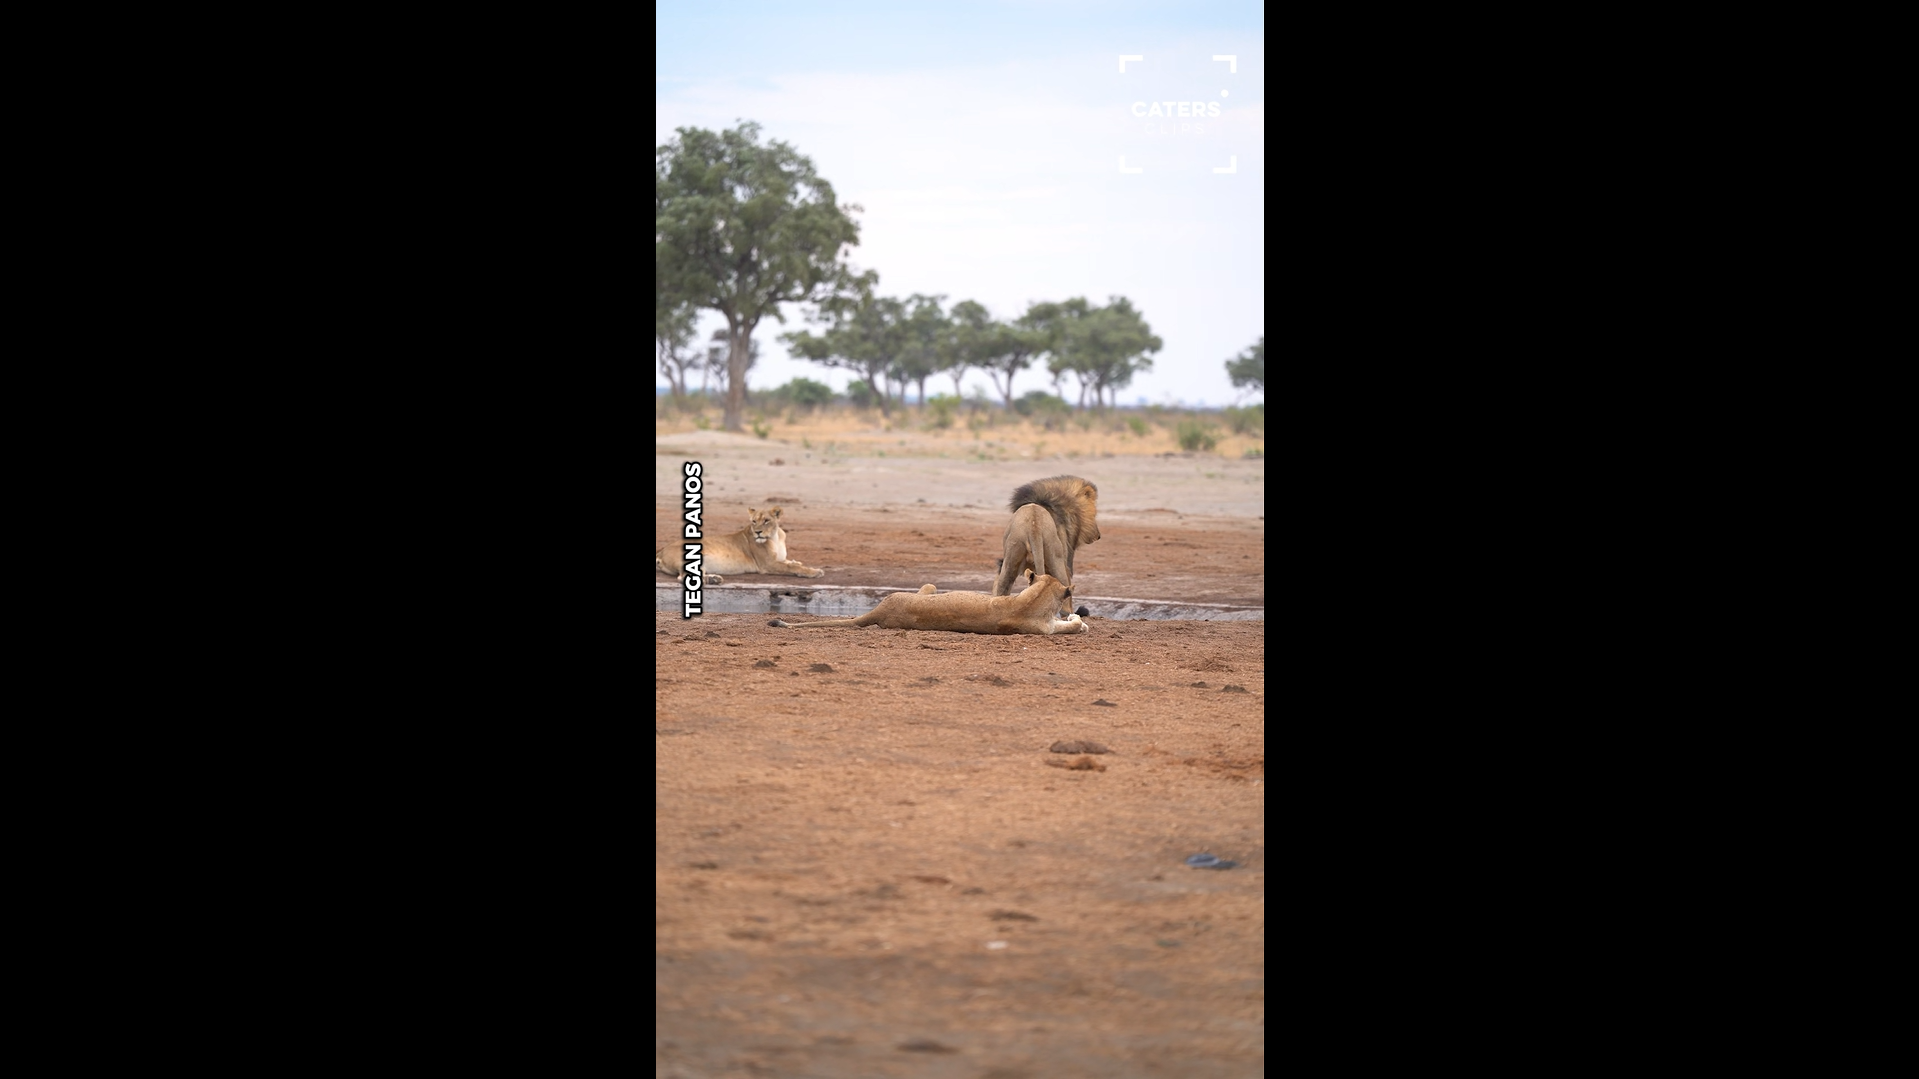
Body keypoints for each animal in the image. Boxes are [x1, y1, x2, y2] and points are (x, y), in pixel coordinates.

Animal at [656, 506, 824, 586]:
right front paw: (814, 572)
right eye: (754, 521)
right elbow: (792, 566)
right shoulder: (767, 565)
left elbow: (791, 562)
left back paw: (714, 579)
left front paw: (801, 564)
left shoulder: (778, 559)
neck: (775, 537)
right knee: (682, 577)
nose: (757, 532)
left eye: (766, 521)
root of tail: (661, 550)